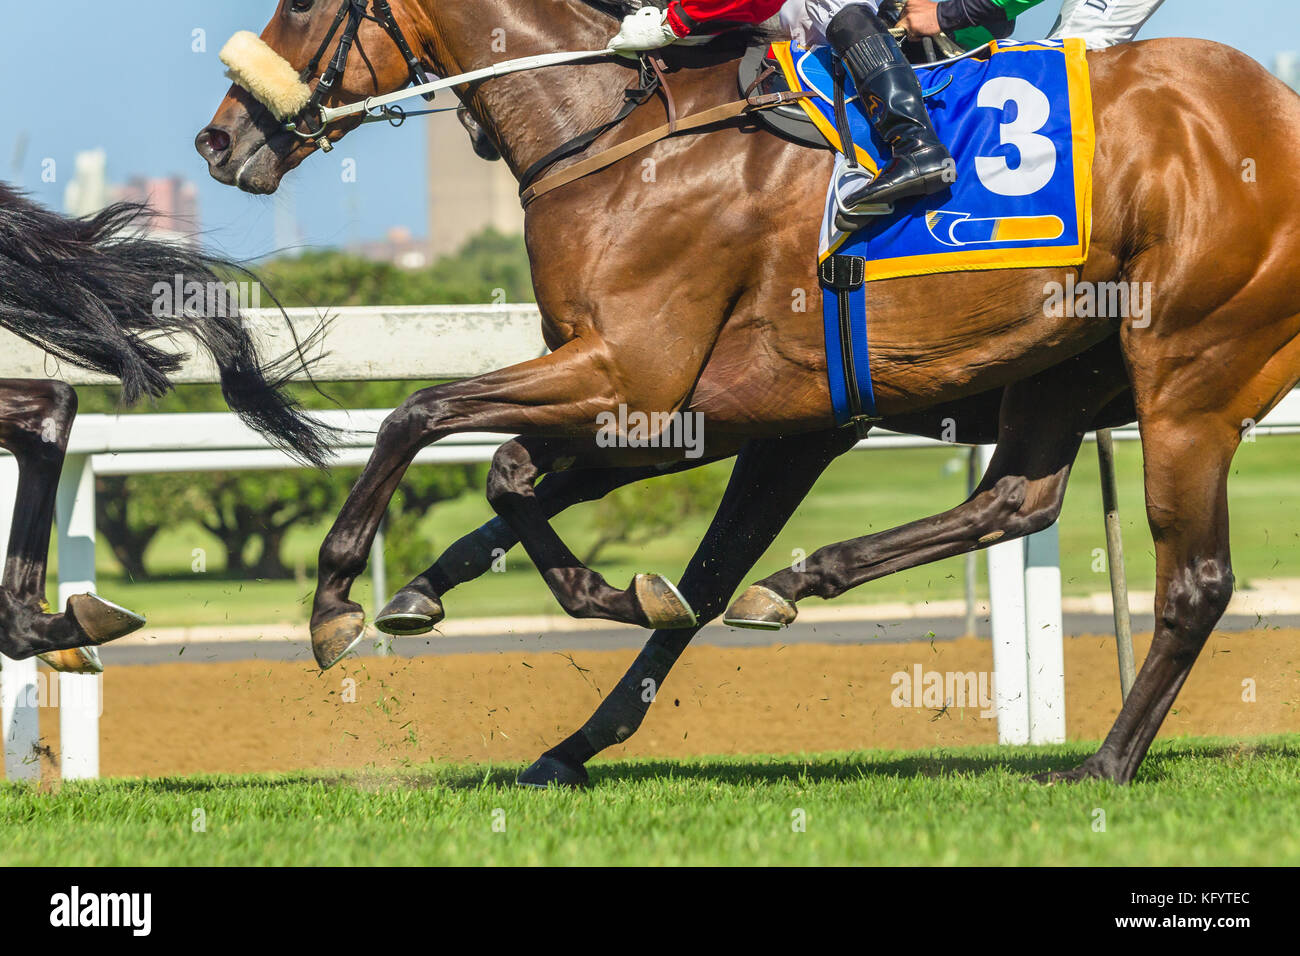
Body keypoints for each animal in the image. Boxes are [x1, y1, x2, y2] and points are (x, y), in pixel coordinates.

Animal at [197, 0, 1300, 785]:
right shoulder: (708, 412)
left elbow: (420, 416)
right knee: (1014, 500)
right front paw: (453, 606)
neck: (621, 141)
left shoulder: (639, 376)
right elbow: (543, 496)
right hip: (1060, 373)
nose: (218, 141)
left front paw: (338, 600)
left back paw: (1104, 762)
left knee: (1195, 581)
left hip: (1187, 374)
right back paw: (805, 580)